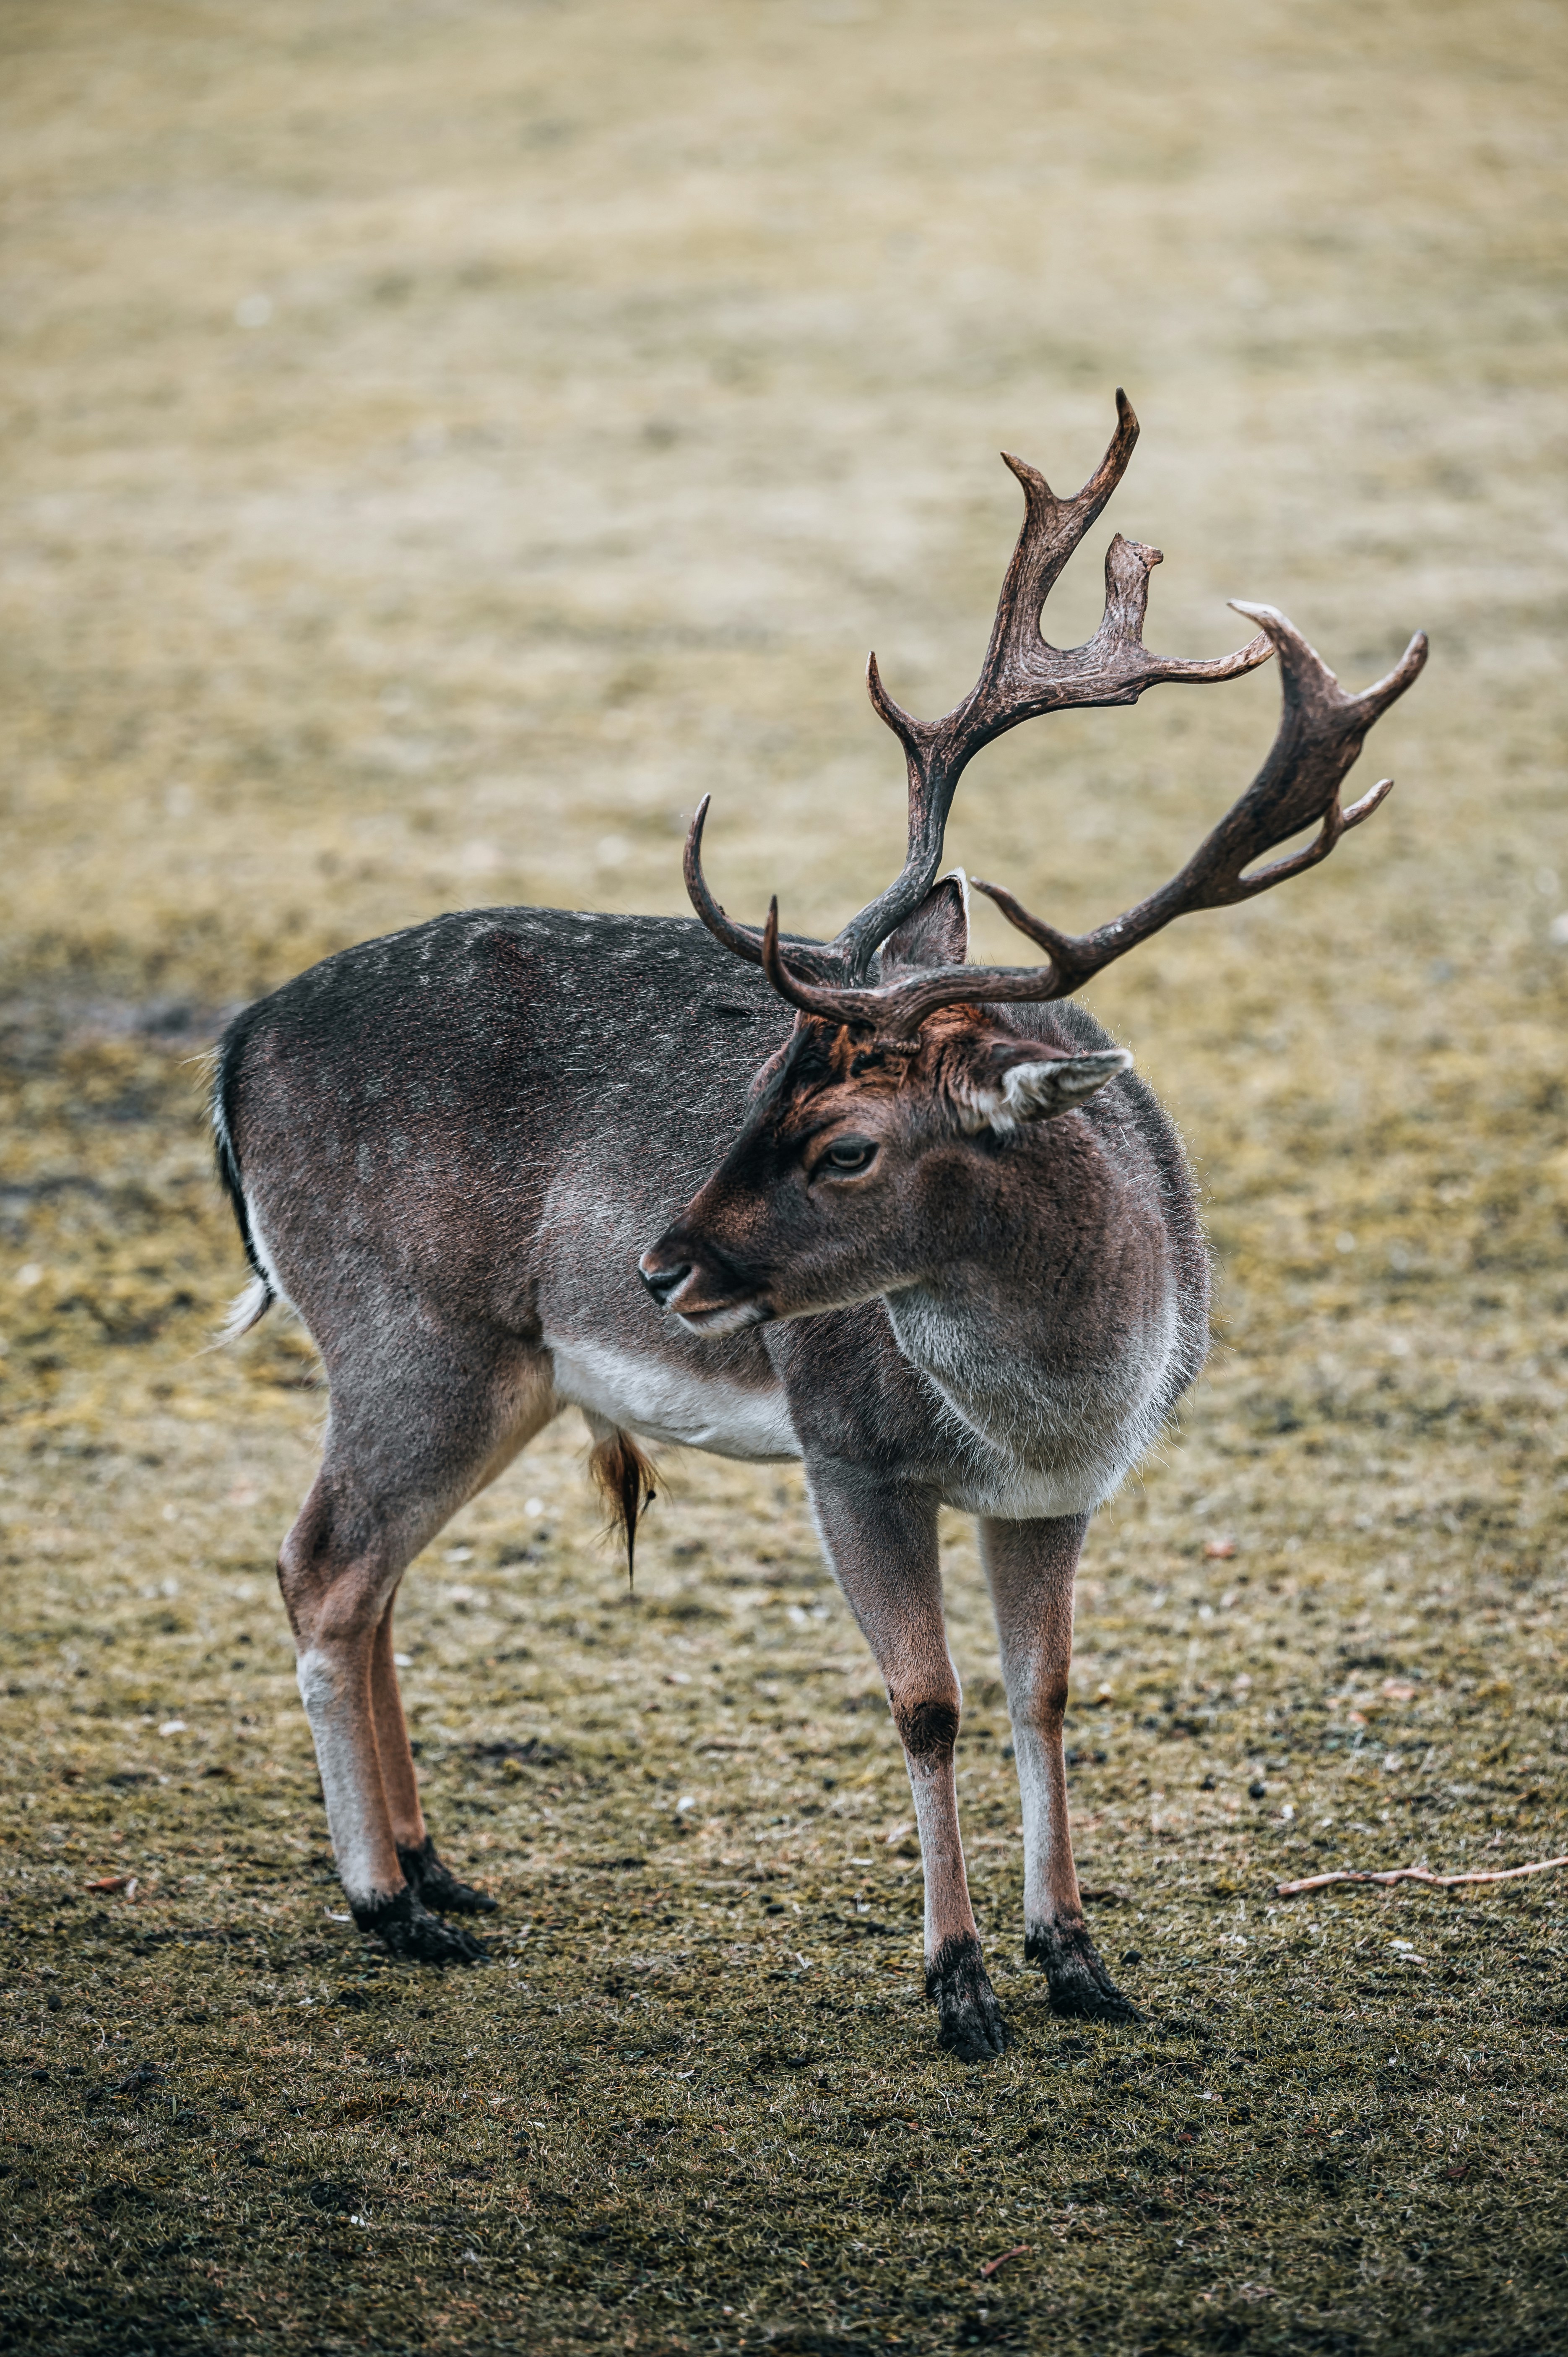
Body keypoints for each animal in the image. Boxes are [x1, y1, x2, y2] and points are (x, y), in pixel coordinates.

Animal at [211, 392, 1425, 2058]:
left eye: (844, 1139)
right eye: (751, 1083)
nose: (661, 1263)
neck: (1055, 1394)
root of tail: (232, 1048)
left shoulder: (1066, 1488)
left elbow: (1043, 1693)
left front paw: (1078, 1957)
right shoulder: (844, 1449)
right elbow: (927, 1702)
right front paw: (960, 1982)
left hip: (502, 1369)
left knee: (371, 1571)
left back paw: (436, 1866)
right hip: (407, 1328)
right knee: (320, 1560)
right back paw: (387, 1903)